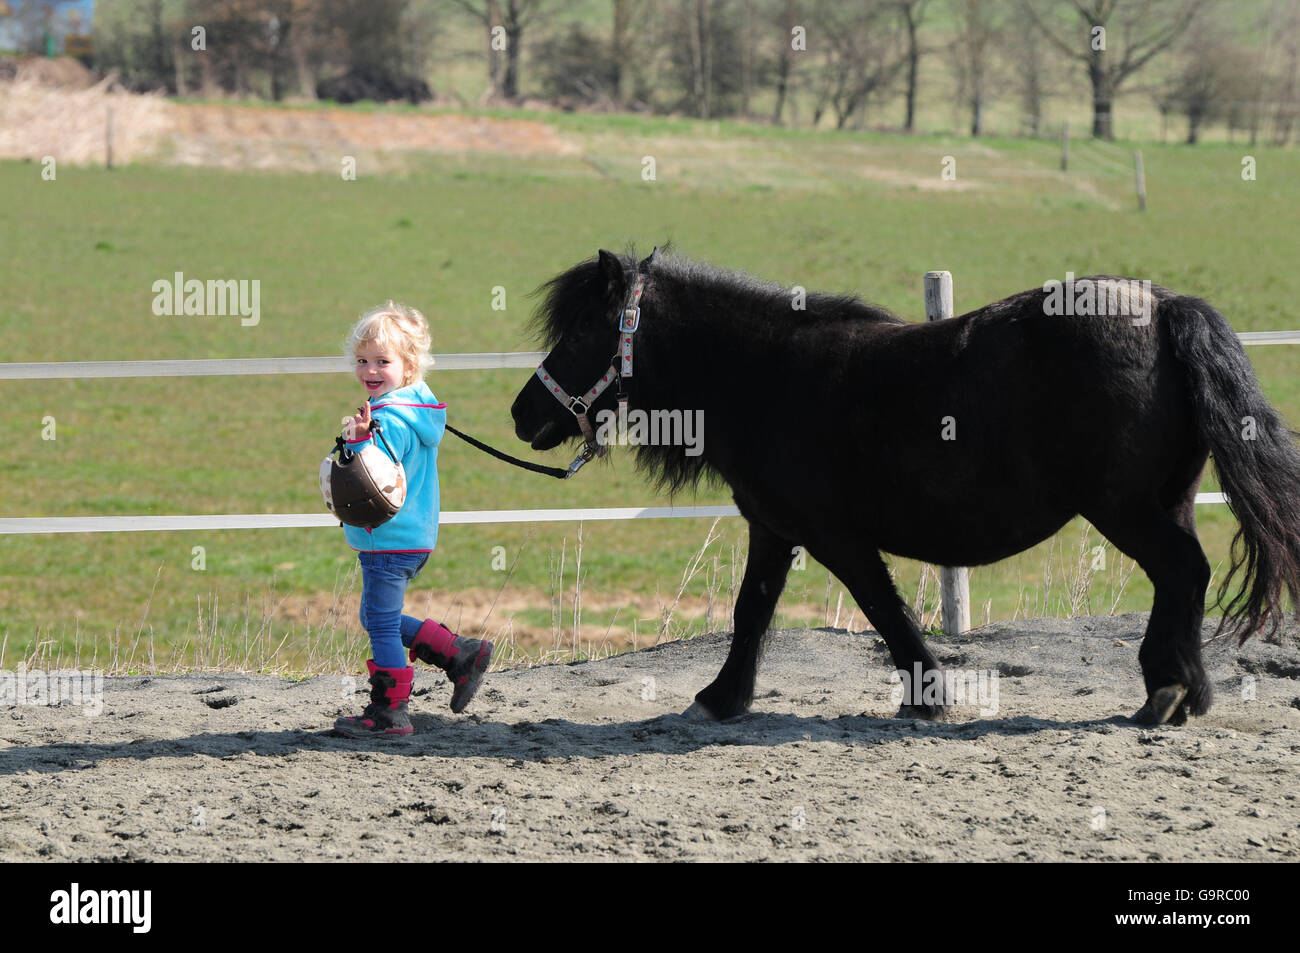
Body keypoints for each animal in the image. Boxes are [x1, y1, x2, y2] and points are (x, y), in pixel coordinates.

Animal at [510, 248, 1300, 726]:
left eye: (582, 330)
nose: (523, 413)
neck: (764, 375)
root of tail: (1166, 308)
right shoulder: (775, 528)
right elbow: (751, 611)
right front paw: (723, 697)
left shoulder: (835, 536)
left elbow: (883, 611)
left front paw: (929, 697)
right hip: (1165, 501)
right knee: (1182, 579)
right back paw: (1179, 690)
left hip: (1126, 509)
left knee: (1183, 572)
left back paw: (1169, 690)